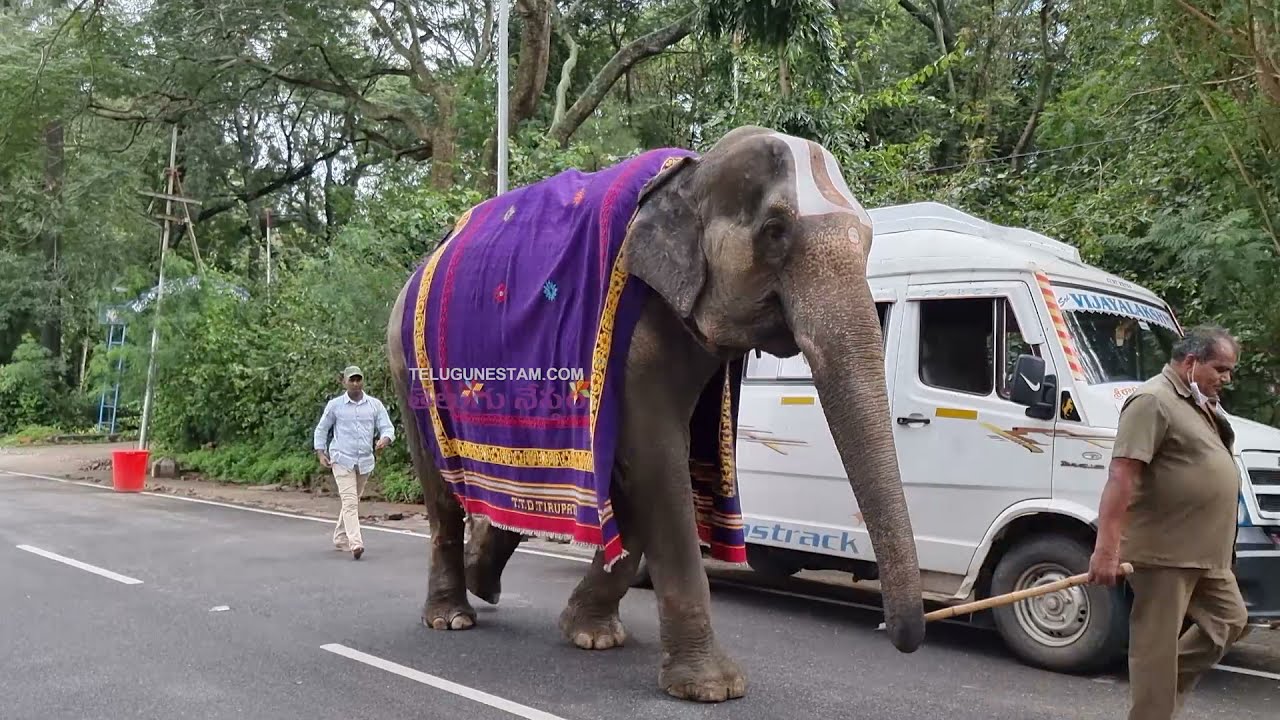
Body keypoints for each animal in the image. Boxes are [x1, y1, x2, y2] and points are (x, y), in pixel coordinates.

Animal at [384, 125, 925, 703]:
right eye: (775, 232)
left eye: (867, 241)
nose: (896, 637)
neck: (691, 175)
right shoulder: (634, 335)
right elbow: (656, 465)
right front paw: (712, 689)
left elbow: (648, 474)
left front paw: (592, 636)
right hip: (409, 370)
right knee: (441, 491)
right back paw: (451, 617)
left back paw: (483, 581)